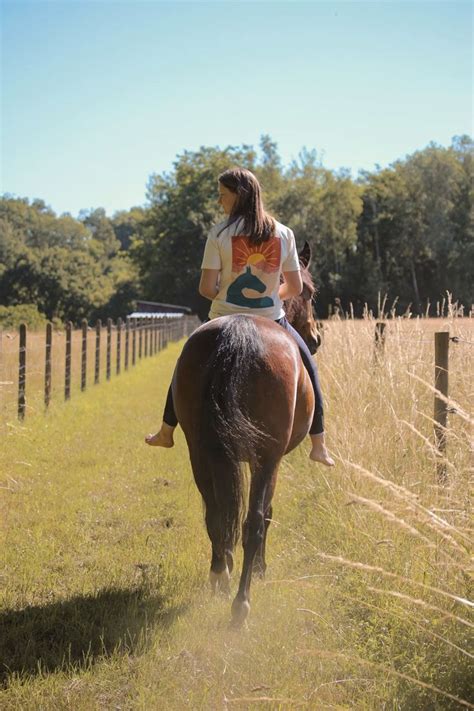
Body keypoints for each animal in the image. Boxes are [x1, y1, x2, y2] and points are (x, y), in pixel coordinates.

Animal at [173, 243, 319, 626]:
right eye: (310, 292)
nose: (315, 339)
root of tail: (237, 334)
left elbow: (225, 511)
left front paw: (227, 563)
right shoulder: (269, 459)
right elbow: (265, 512)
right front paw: (260, 569)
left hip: (199, 451)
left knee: (214, 512)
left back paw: (220, 577)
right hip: (266, 455)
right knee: (252, 521)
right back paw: (241, 603)